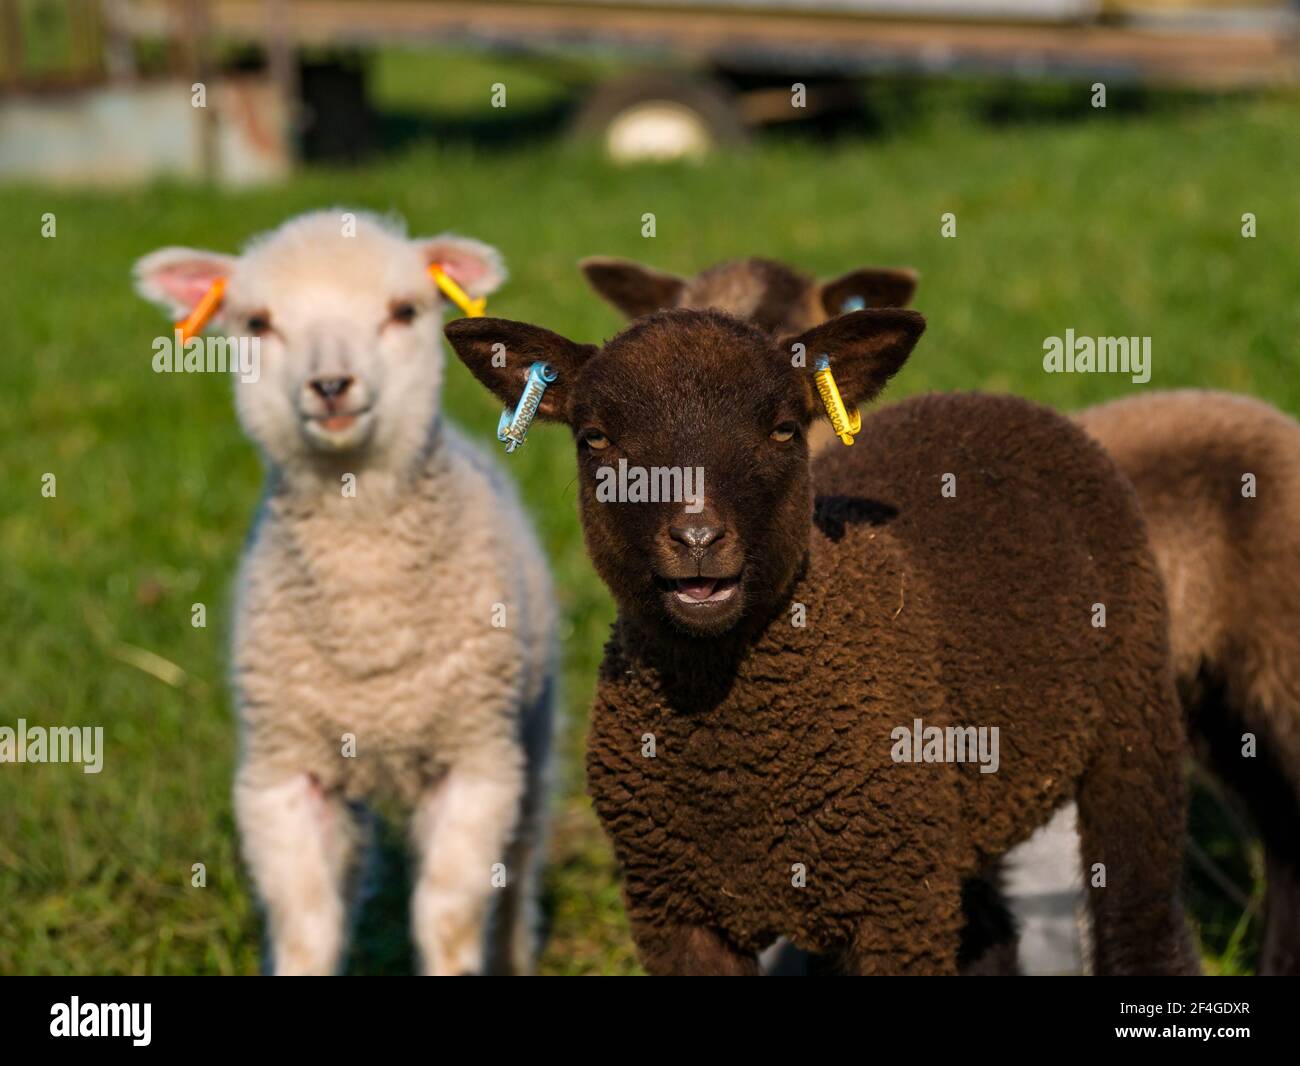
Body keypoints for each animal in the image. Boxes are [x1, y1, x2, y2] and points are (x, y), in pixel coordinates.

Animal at [133, 209, 556, 976]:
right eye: (257, 323)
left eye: (404, 311)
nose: (331, 385)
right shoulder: (283, 771)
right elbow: (307, 922)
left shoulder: (476, 763)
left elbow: (448, 915)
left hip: (530, 729)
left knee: (520, 867)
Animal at [445, 305, 1199, 975]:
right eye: (595, 439)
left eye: (784, 429)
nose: (697, 538)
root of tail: (999, 400)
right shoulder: (675, 910)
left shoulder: (896, 909)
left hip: (1133, 715)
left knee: (1139, 911)